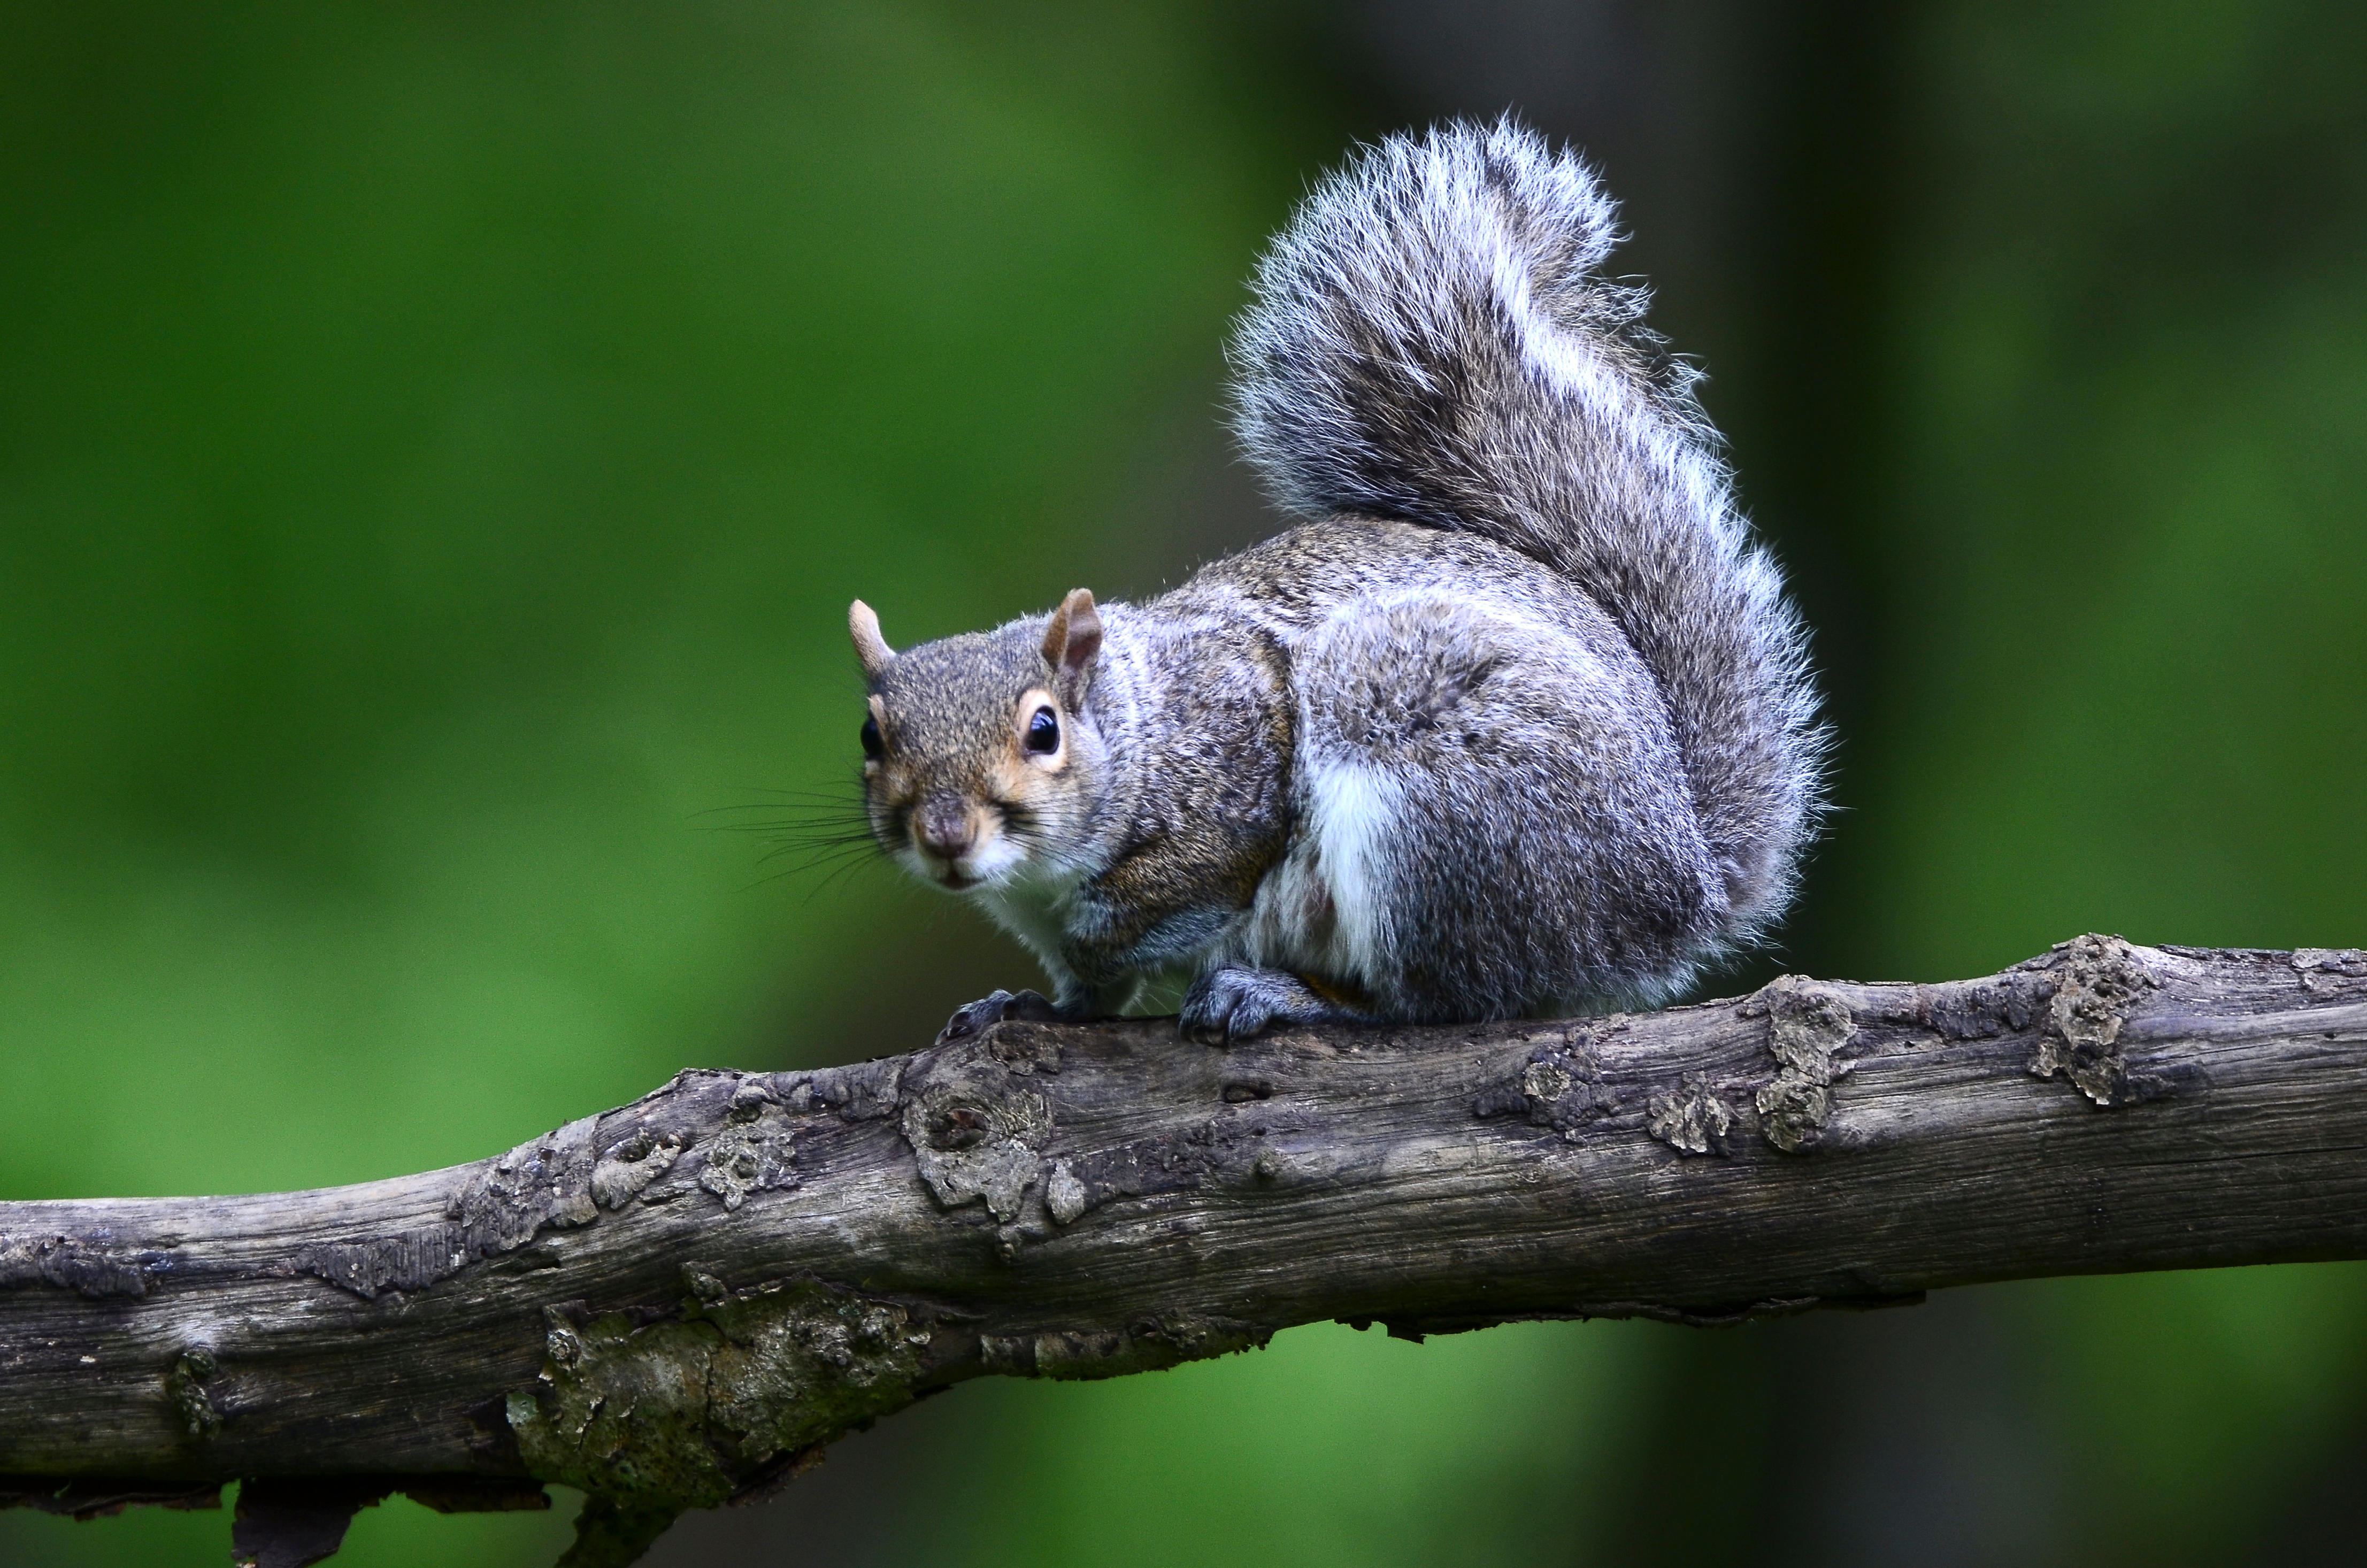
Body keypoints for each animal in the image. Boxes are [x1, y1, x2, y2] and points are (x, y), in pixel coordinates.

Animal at [845, 118, 1825, 1044]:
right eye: (871, 735)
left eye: (1043, 730)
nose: (945, 837)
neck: (1138, 725)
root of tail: (1676, 889)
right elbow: (1085, 990)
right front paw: (1033, 1004)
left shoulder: (1234, 748)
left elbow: (1187, 888)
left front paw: (1120, 941)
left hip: (1432, 781)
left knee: (1441, 1000)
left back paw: (1291, 995)